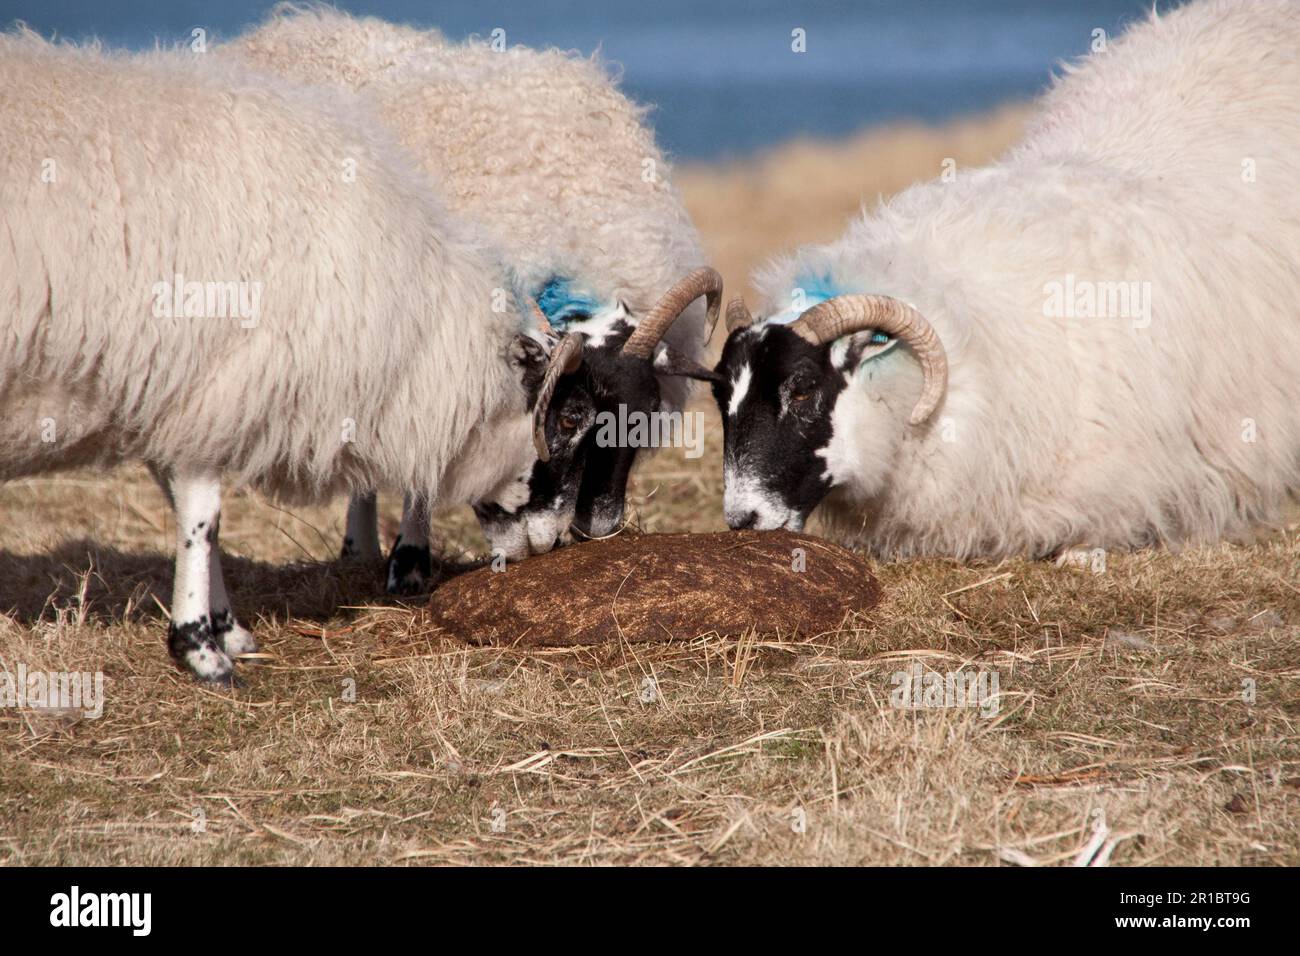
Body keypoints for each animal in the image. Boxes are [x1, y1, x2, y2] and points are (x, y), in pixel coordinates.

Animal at [0, 32, 588, 682]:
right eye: (566, 419)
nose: (555, 545)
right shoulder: (214, 380)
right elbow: (201, 513)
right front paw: (201, 647)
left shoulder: (176, 391)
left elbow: (191, 510)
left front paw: (225, 629)